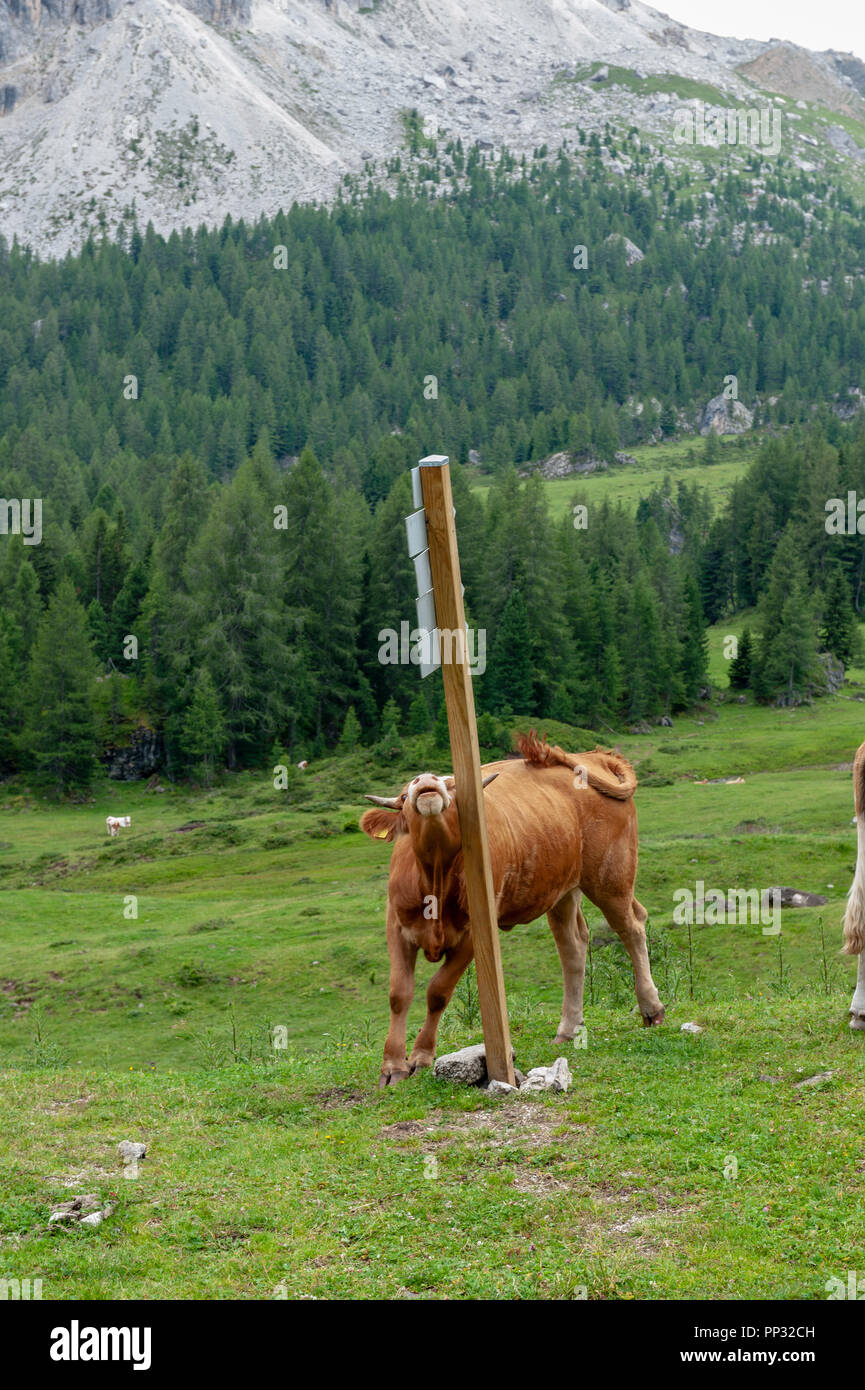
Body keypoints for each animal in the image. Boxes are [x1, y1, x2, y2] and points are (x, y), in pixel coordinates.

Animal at [360, 731, 664, 1087]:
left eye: (452, 783)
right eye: (403, 792)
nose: (426, 781)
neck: (434, 875)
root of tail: (590, 757)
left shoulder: (473, 933)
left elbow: (438, 991)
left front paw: (421, 1057)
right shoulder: (396, 927)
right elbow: (399, 994)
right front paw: (392, 1065)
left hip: (611, 877)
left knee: (631, 927)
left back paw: (651, 1008)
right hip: (562, 889)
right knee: (573, 946)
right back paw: (568, 1028)